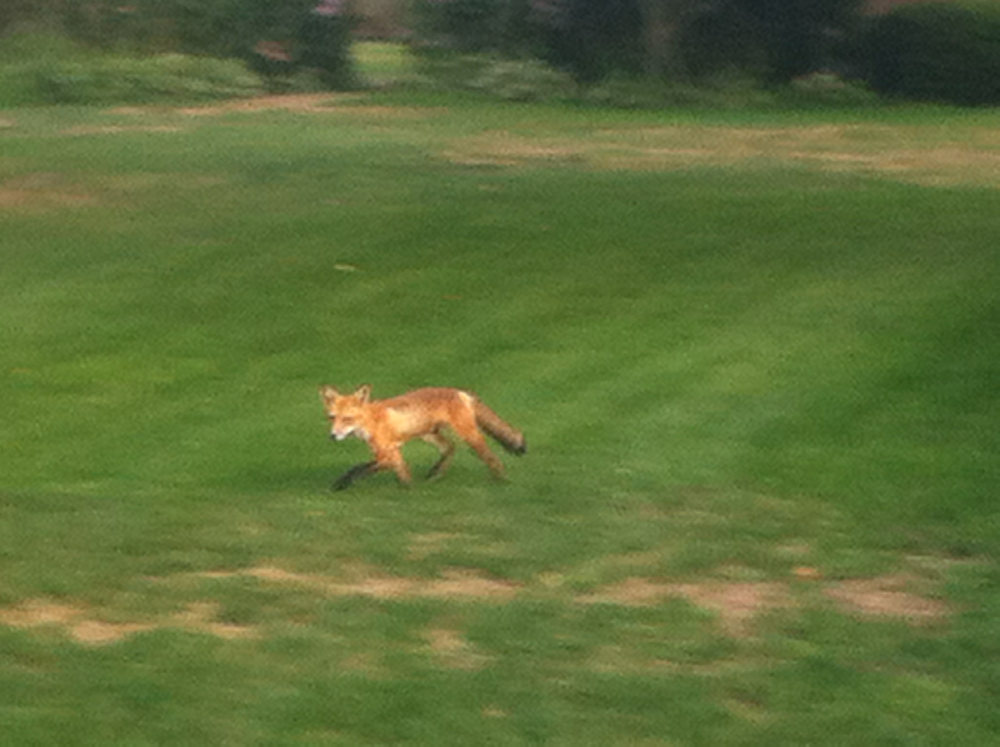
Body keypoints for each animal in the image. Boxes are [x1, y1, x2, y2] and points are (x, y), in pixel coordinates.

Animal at [319, 384, 526, 490]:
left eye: (348, 418)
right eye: (332, 417)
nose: (333, 436)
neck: (371, 420)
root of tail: (460, 391)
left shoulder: (386, 454)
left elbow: (359, 468)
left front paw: (341, 484)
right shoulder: (392, 453)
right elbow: (402, 472)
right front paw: (409, 489)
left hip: (469, 436)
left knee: (491, 458)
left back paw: (501, 481)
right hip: (428, 435)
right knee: (450, 447)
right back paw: (435, 473)